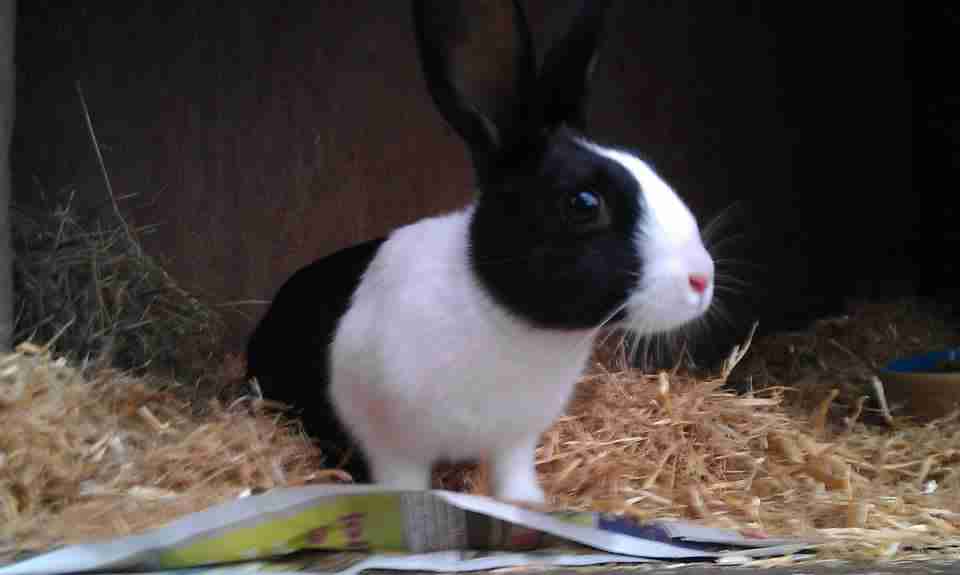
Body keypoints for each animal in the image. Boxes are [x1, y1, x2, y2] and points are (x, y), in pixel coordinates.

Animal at [245, 0, 714, 505]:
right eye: (584, 204)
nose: (702, 279)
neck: (507, 322)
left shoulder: (514, 440)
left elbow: (513, 478)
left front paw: (530, 506)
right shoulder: (393, 448)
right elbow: (404, 483)